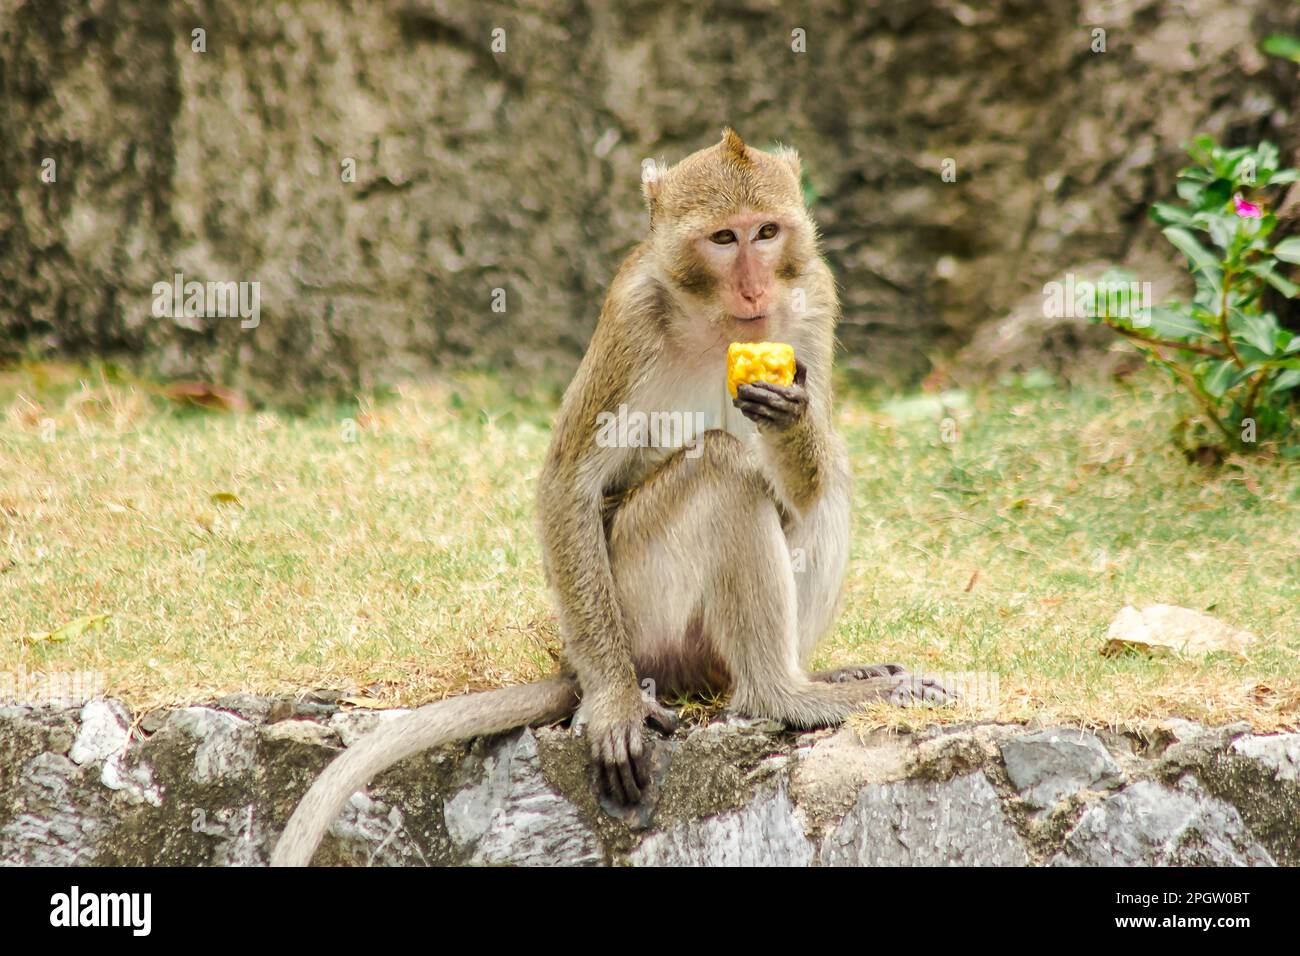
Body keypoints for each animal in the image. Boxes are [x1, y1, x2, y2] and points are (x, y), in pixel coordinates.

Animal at [270, 129, 950, 867]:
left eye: (767, 232)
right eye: (724, 238)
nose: (755, 285)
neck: (717, 319)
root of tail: (577, 664)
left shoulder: (814, 295)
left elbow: (810, 479)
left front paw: (792, 413)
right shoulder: (633, 315)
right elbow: (570, 481)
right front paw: (620, 708)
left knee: (825, 476)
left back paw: (823, 676)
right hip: (642, 613)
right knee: (723, 466)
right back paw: (779, 696)